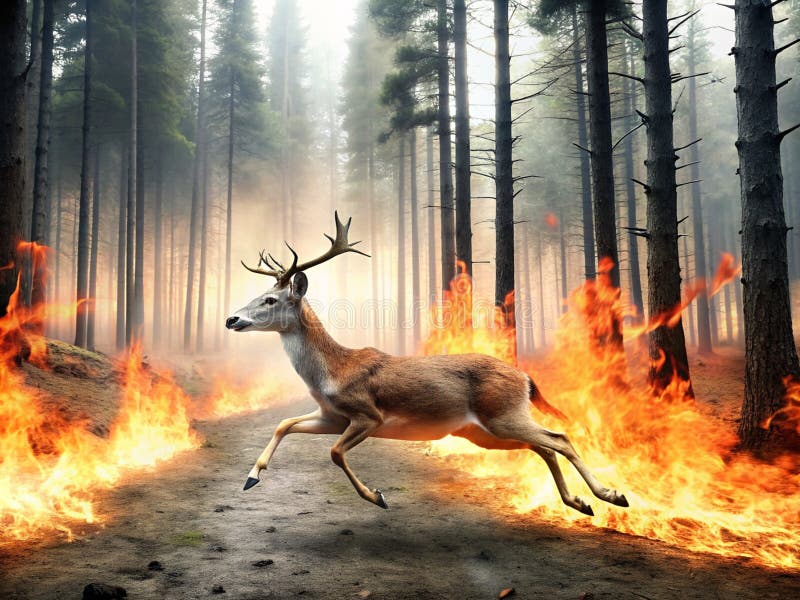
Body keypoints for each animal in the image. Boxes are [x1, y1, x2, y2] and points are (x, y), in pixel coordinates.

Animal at [226, 213, 629, 516]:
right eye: (260, 294)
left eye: (270, 300)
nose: (231, 319)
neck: (333, 372)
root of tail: (526, 377)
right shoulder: (332, 416)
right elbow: (284, 424)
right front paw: (251, 477)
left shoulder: (368, 414)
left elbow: (335, 452)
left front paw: (377, 496)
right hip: (485, 431)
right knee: (543, 447)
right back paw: (579, 503)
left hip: (502, 413)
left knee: (559, 438)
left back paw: (611, 495)